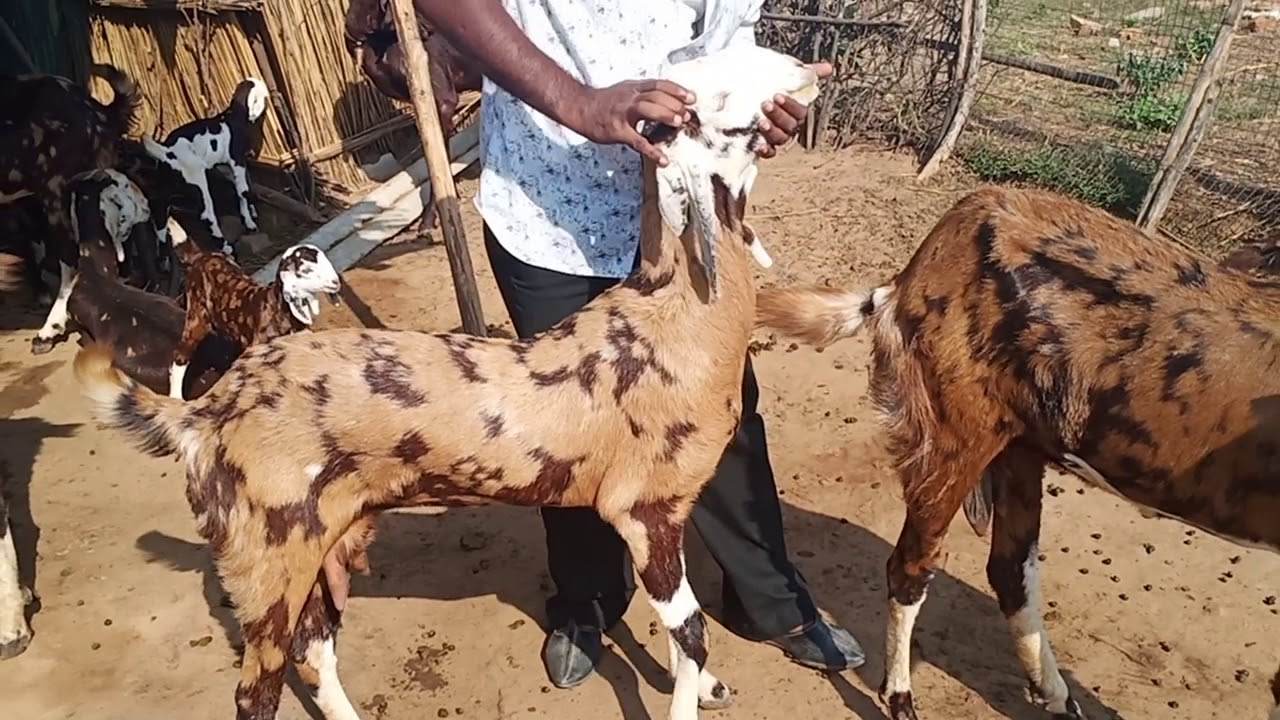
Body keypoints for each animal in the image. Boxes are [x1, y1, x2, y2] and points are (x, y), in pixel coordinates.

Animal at [141, 78, 269, 254]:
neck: (233, 115)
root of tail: (167, 152)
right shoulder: (237, 161)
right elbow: (243, 191)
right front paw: (249, 222)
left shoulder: (230, 165)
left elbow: (243, 188)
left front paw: (251, 213)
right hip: (198, 181)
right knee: (207, 214)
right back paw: (225, 246)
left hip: (167, 186)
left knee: (159, 211)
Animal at [166, 218, 343, 400]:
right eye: (306, 270)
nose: (336, 282)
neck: (277, 308)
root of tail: (200, 256)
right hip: (197, 317)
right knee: (180, 356)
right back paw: (176, 396)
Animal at [754, 186, 1280, 720]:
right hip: (955, 444)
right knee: (911, 569)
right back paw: (901, 697)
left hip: (1018, 446)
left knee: (1010, 571)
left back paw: (1056, 697)